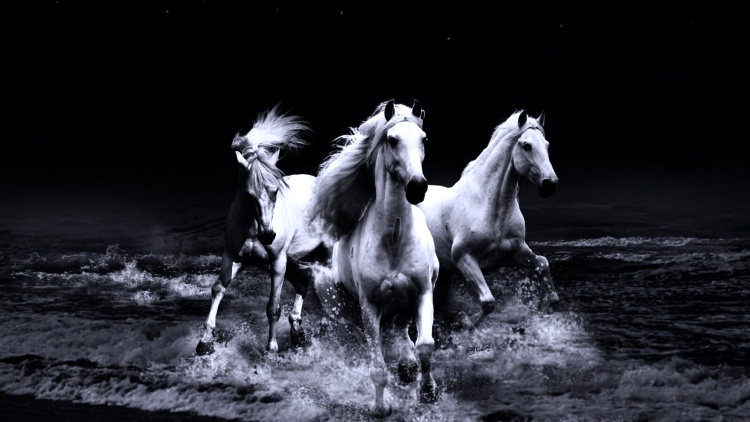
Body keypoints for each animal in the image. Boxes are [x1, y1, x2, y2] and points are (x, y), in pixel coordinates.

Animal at [196, 104, 332, 356]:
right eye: (249, 194)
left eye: (275, 190)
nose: (268, 235)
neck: (252, 229)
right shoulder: (234, 257)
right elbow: (218, 289)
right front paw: (204, 342)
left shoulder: (277, 262)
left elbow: (273, 307)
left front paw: (271, 348)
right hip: (292, 259)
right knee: (303, 282)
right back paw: (297, 332)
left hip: (323, 253)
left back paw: (324, 326)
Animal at [308, 99, 439, 415]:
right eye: (392, 140)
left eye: (424, 139)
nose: (417, 186)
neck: (393, 240)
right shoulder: (370, 306)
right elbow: (377, 367)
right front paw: (381, 407)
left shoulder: (423, 293)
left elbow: (425, 345)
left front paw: (427, 392)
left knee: (403, 330)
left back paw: (407, 366)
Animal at [417, 110, 559, 329]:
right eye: (527, 146)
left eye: (547, 145)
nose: (549, 184)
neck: (489, 206)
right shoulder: (464, 258)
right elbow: (488, 302)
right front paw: (465, 321)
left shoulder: (516, 250)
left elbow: (542, 263)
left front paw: (549, 303)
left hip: (444, 273)